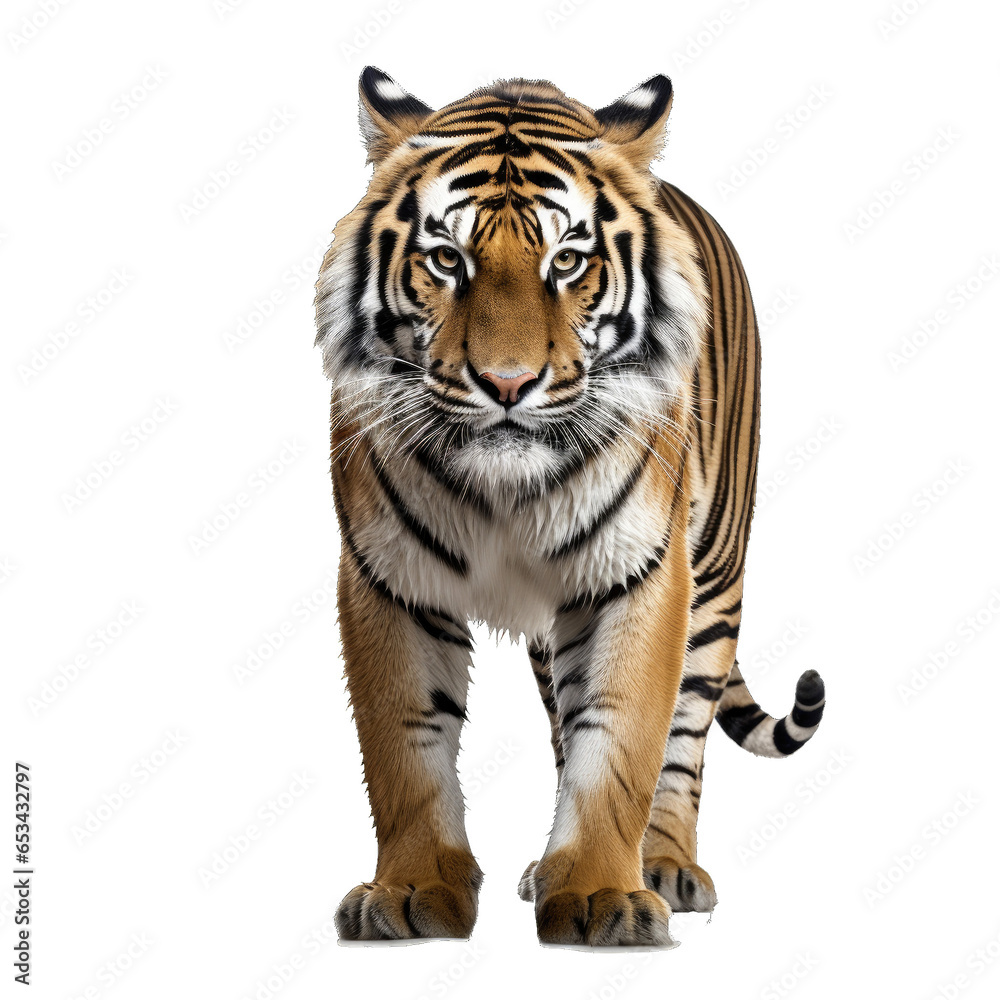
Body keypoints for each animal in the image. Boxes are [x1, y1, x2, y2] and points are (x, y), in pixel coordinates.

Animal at [315, 66, 826, 947]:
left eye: (568, 261)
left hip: (716, 575)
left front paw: (599, 895)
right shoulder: (388, 576)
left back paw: (665, 867)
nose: (508, 383)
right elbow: (404, 746)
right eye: (445, 259)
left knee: (683, 737)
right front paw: (410, 892)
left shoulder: (639, 575)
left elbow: (621, 738)